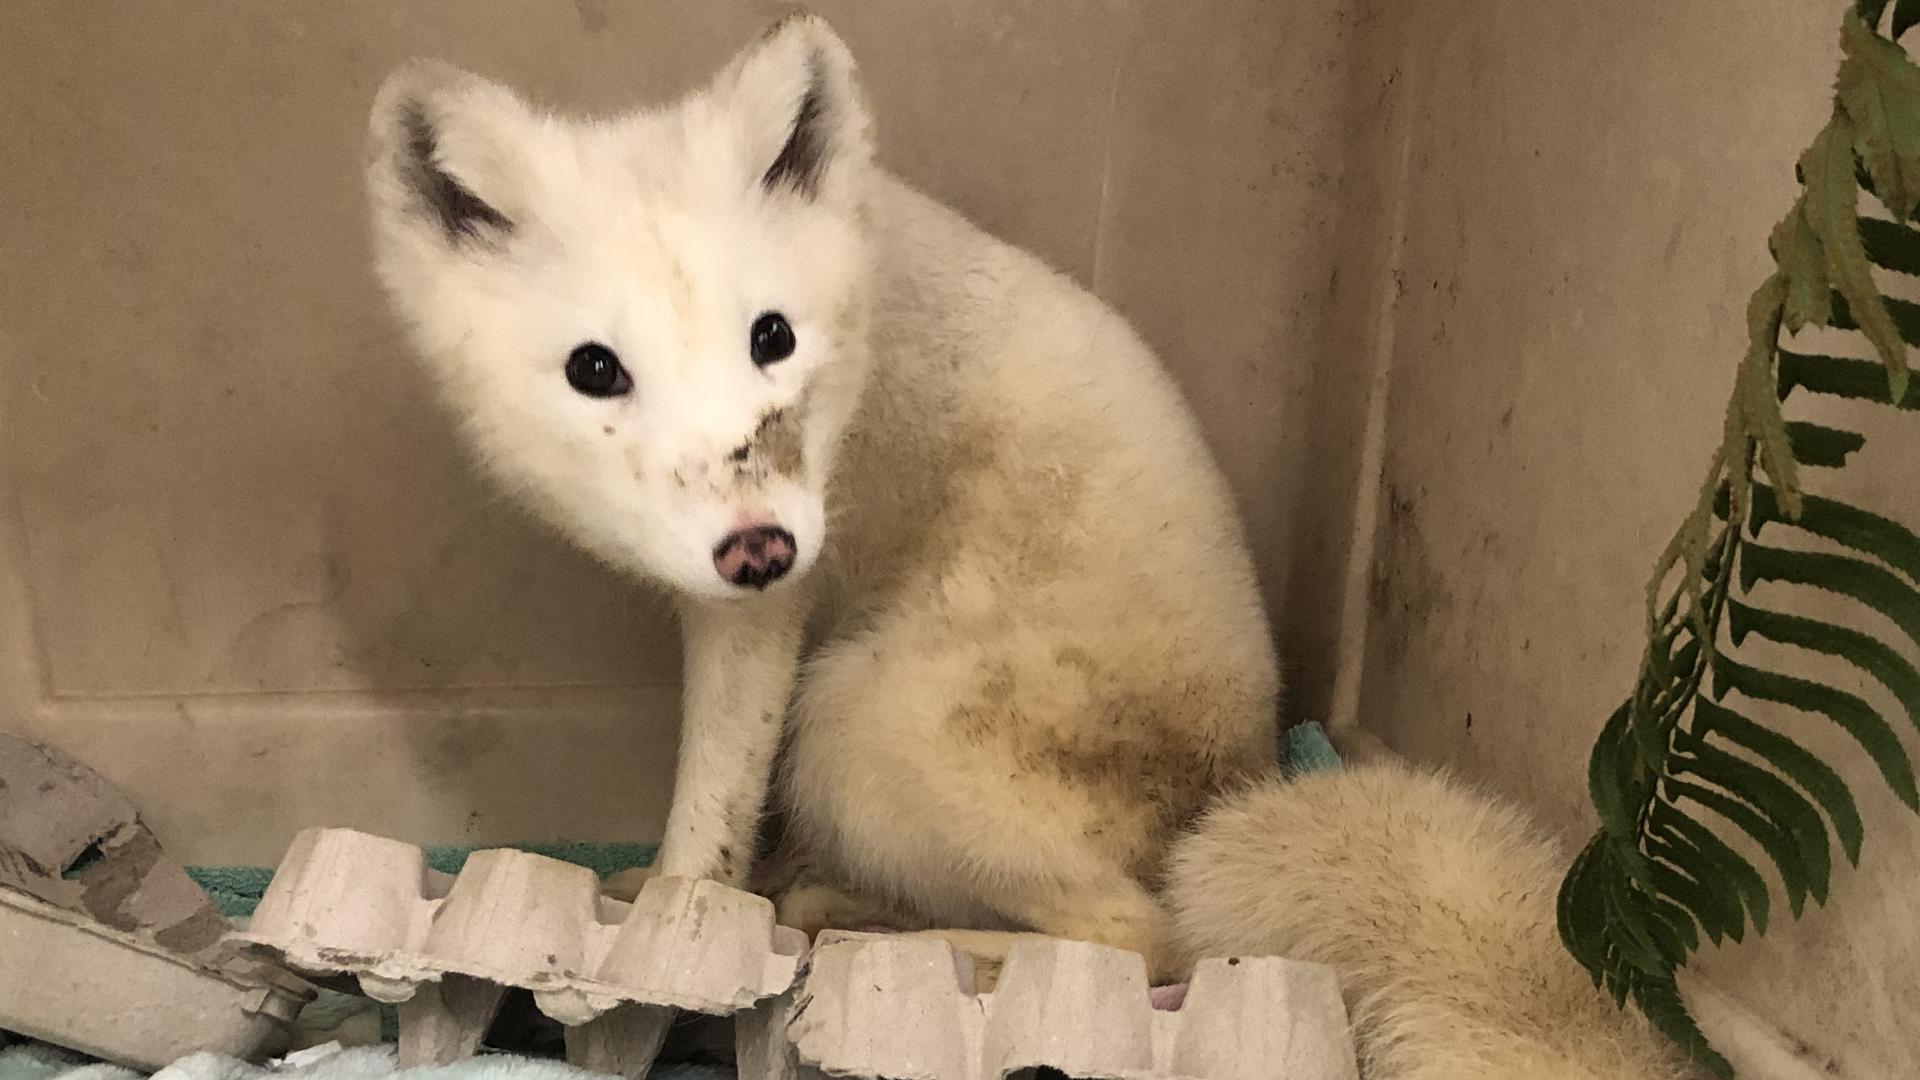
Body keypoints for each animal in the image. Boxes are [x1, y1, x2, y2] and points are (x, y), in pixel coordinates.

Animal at [364, 15, 1695, 1080]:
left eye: (771, 337)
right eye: (597, 370)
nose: (761, 546)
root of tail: (1240, 774)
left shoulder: (766, 626)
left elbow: (707, 806)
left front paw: (673, 926)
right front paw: (667, 899)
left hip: (855, 726)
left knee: (1147, 939)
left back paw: (882, 937)